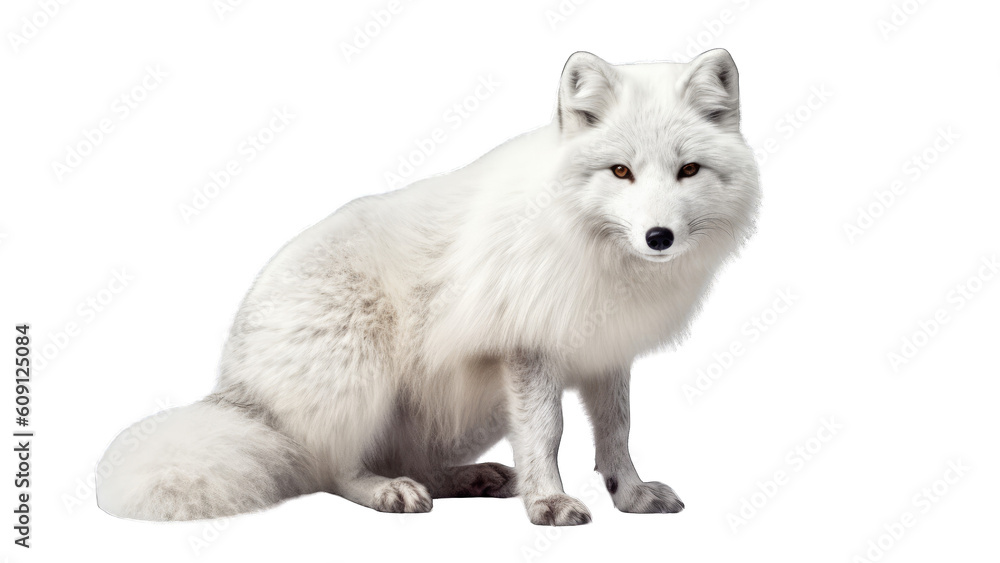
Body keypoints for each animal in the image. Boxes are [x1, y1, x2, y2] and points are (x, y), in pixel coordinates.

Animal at [97, 49, 760, 526]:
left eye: (689, 171)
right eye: (621, 171)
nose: (658, 236)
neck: (591, 244)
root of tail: (236, 386)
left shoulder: (606, 349)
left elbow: (616, 431)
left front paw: (630, 492)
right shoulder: (528, 345)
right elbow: (547, 434)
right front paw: (548, 503)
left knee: (401, 457)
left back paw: (464, 480)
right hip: (360, 374)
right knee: (329, 468)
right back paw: (389, 491)